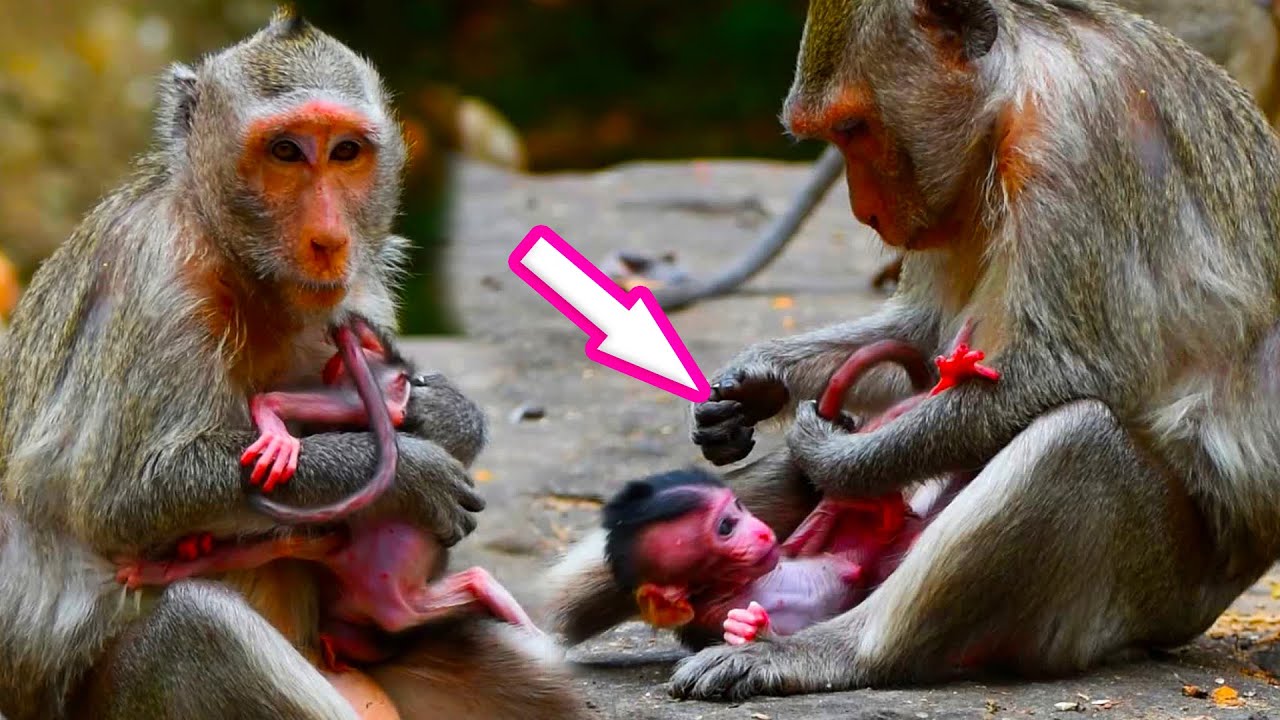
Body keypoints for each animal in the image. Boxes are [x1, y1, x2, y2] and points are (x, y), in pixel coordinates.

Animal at [0, 9, 585, 720]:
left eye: (345, 152)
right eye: (285, 152)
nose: (329, 239)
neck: (240, 264)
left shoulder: (356, 298)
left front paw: (443, 415)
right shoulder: (154, 283)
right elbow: (129, 498)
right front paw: (406, 471)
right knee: (193, 627)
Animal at [544, 0, 1280, 703]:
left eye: (853, 128)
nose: (865, 211)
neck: (1012, 100)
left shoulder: (1078, 138)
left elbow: (1073, 369)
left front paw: (838, 456)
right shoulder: (951, 200)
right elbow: (924, 337)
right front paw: (754, 385)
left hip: (1153, 585)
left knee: (1076, 442)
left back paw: (830, 652)